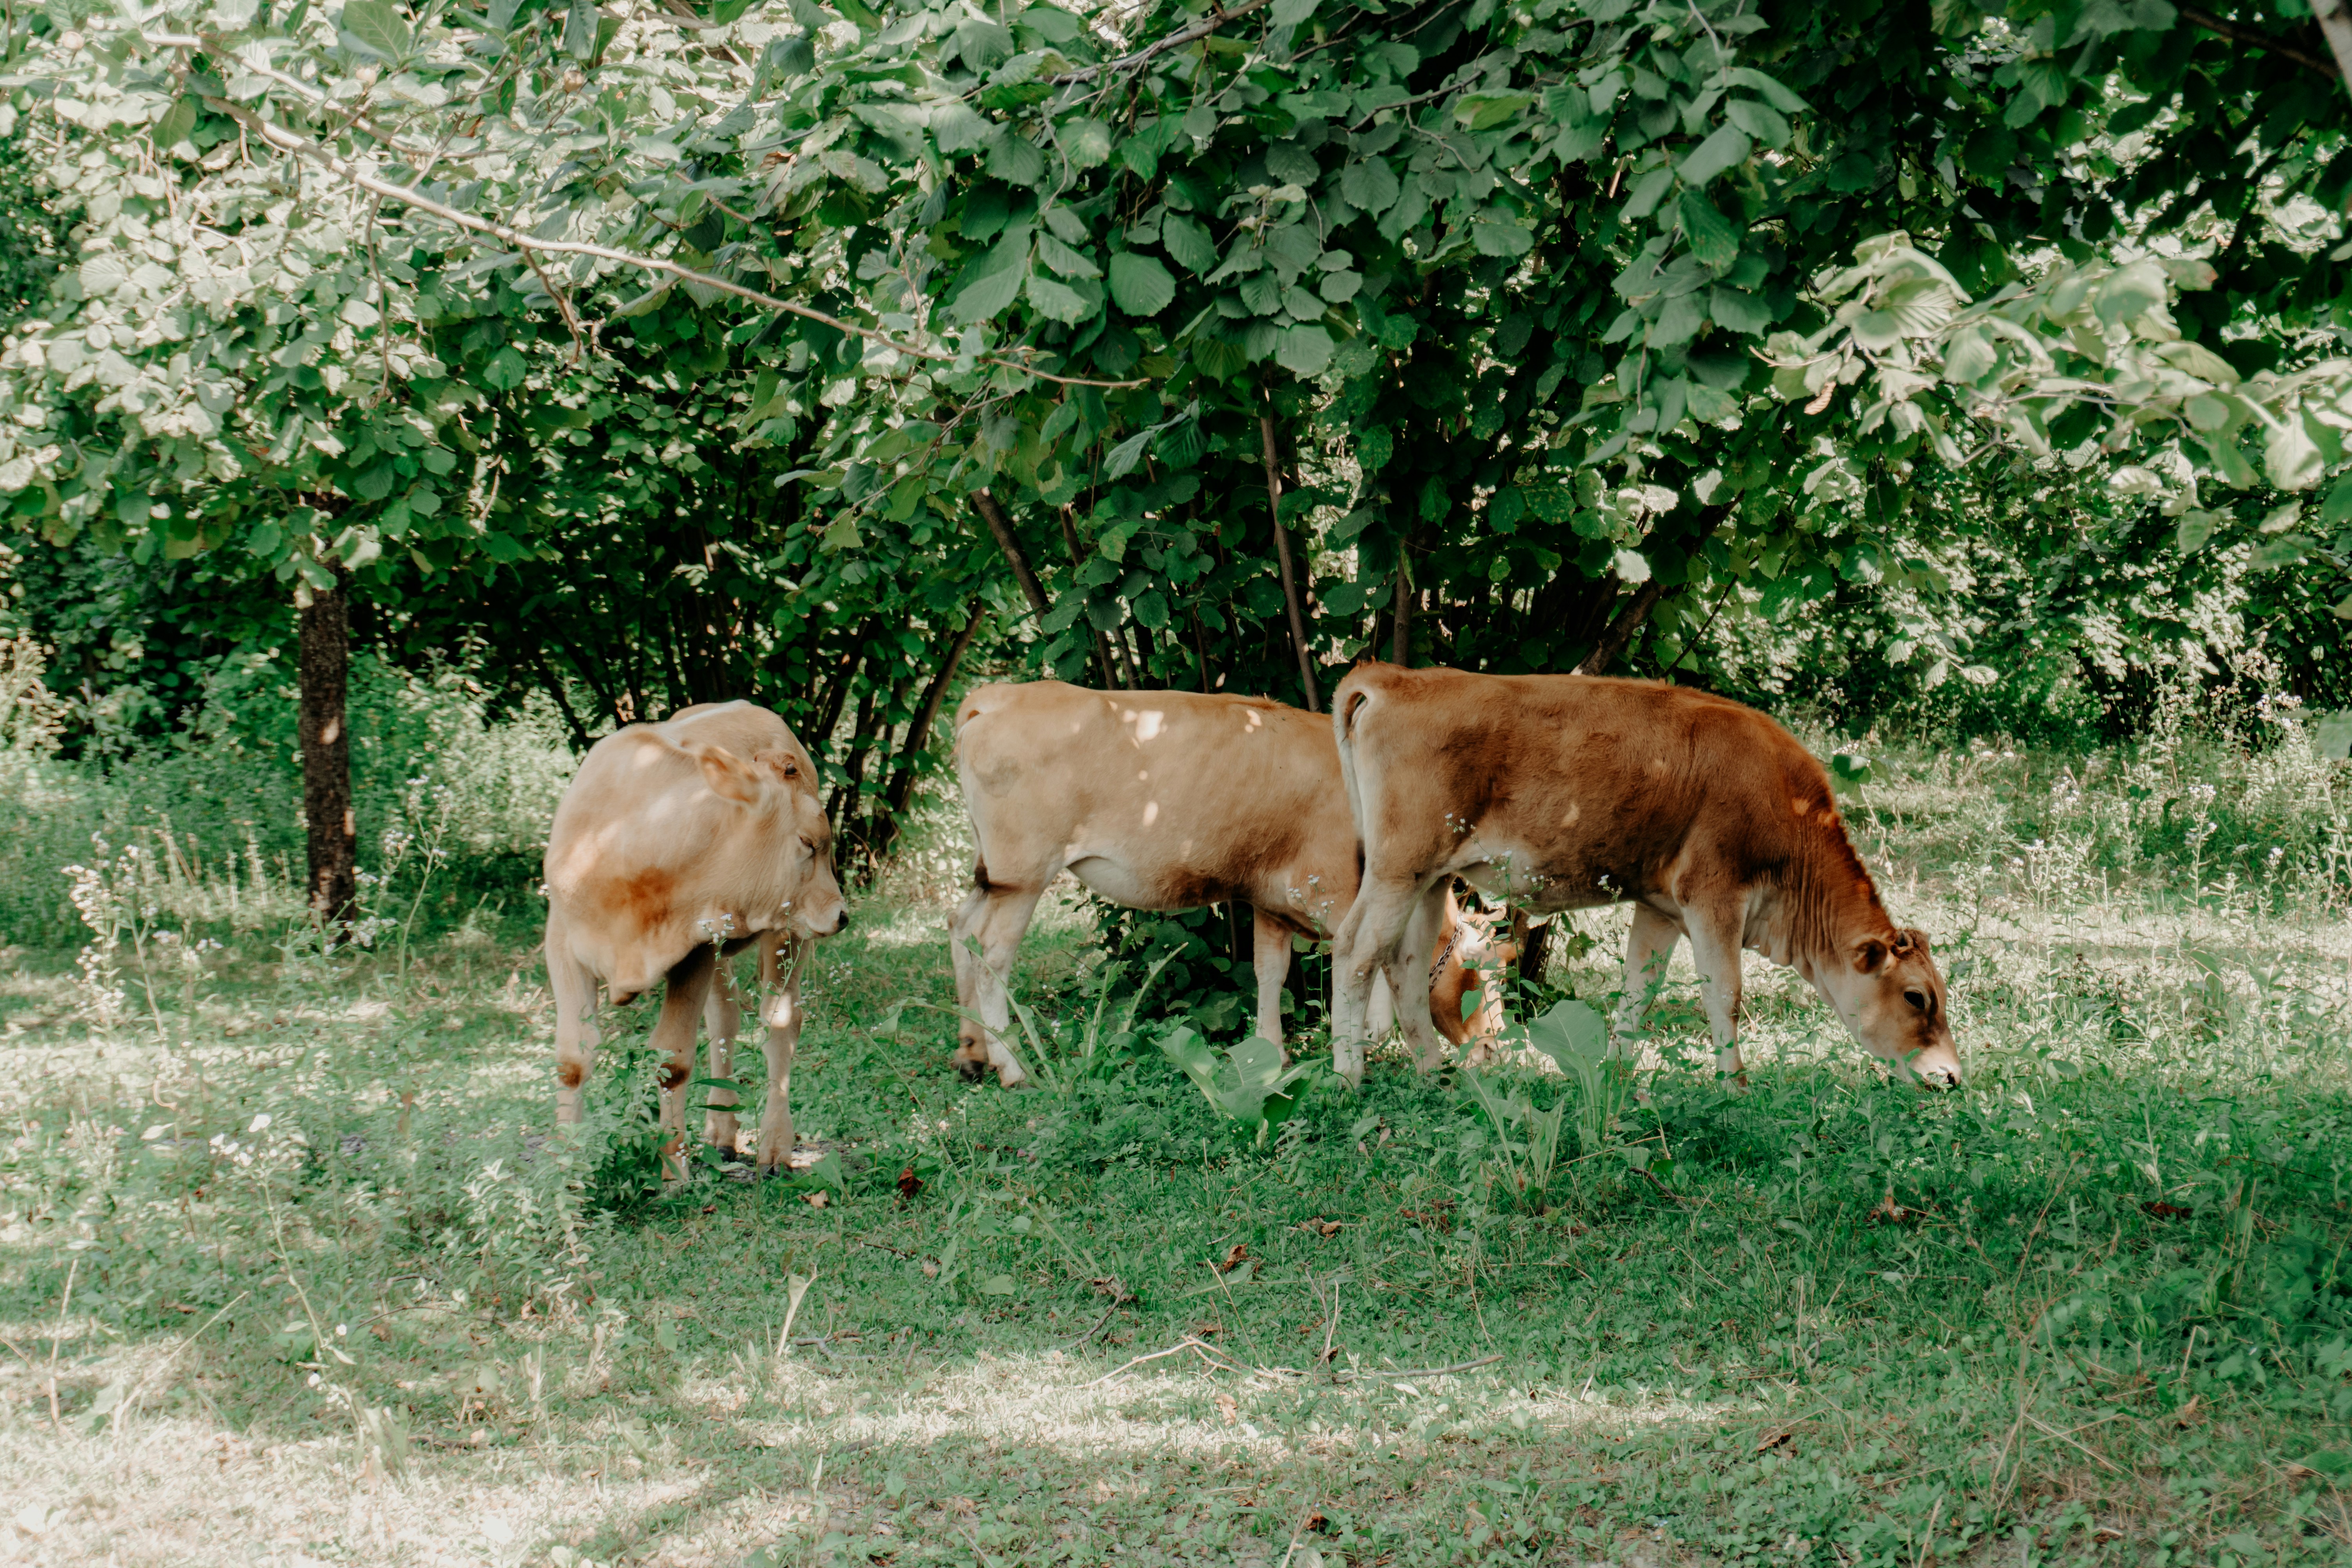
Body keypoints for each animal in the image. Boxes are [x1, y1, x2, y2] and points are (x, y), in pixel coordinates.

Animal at [542, 701, 848, 1178]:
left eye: (823, 844)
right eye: (807, 842)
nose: (841, 913)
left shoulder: (695, 950)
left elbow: (672, 1059)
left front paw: (675, 1173)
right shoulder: (561, 942)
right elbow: (573, 1060)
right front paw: (566, 1170)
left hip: (788, 932)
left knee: (781, 1021)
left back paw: (775, 1145)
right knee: (725, 1020)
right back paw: (721, 1132)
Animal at [948, 681, 1518, 1086]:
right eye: (1480, 977)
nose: (1495, 1050)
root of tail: (995, 696)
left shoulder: (1272, 899)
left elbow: (1270, 972)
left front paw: (1271, 1055)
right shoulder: (1337, 891)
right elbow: (1370, 959)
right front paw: (1370, 1041)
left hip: (989, 873)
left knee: (960, 929)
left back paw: (972, 1050)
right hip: (1023, 875)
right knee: (992, 954)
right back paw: (1013, 1067)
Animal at [1326, 663, 1960, 1090]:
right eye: (1917, 997)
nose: (1954, 1077)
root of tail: (1396, 676)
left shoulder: (1661, 906)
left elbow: (1639, 991)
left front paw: (1618, 1076)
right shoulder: (1714, 895)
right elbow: (1724, 995)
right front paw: (1736, 1088)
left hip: (1430, 878)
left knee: (1405, 965)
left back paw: (1432, 1071)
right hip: (1398, 868)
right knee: (1355, 950)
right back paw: (1348, 1076)